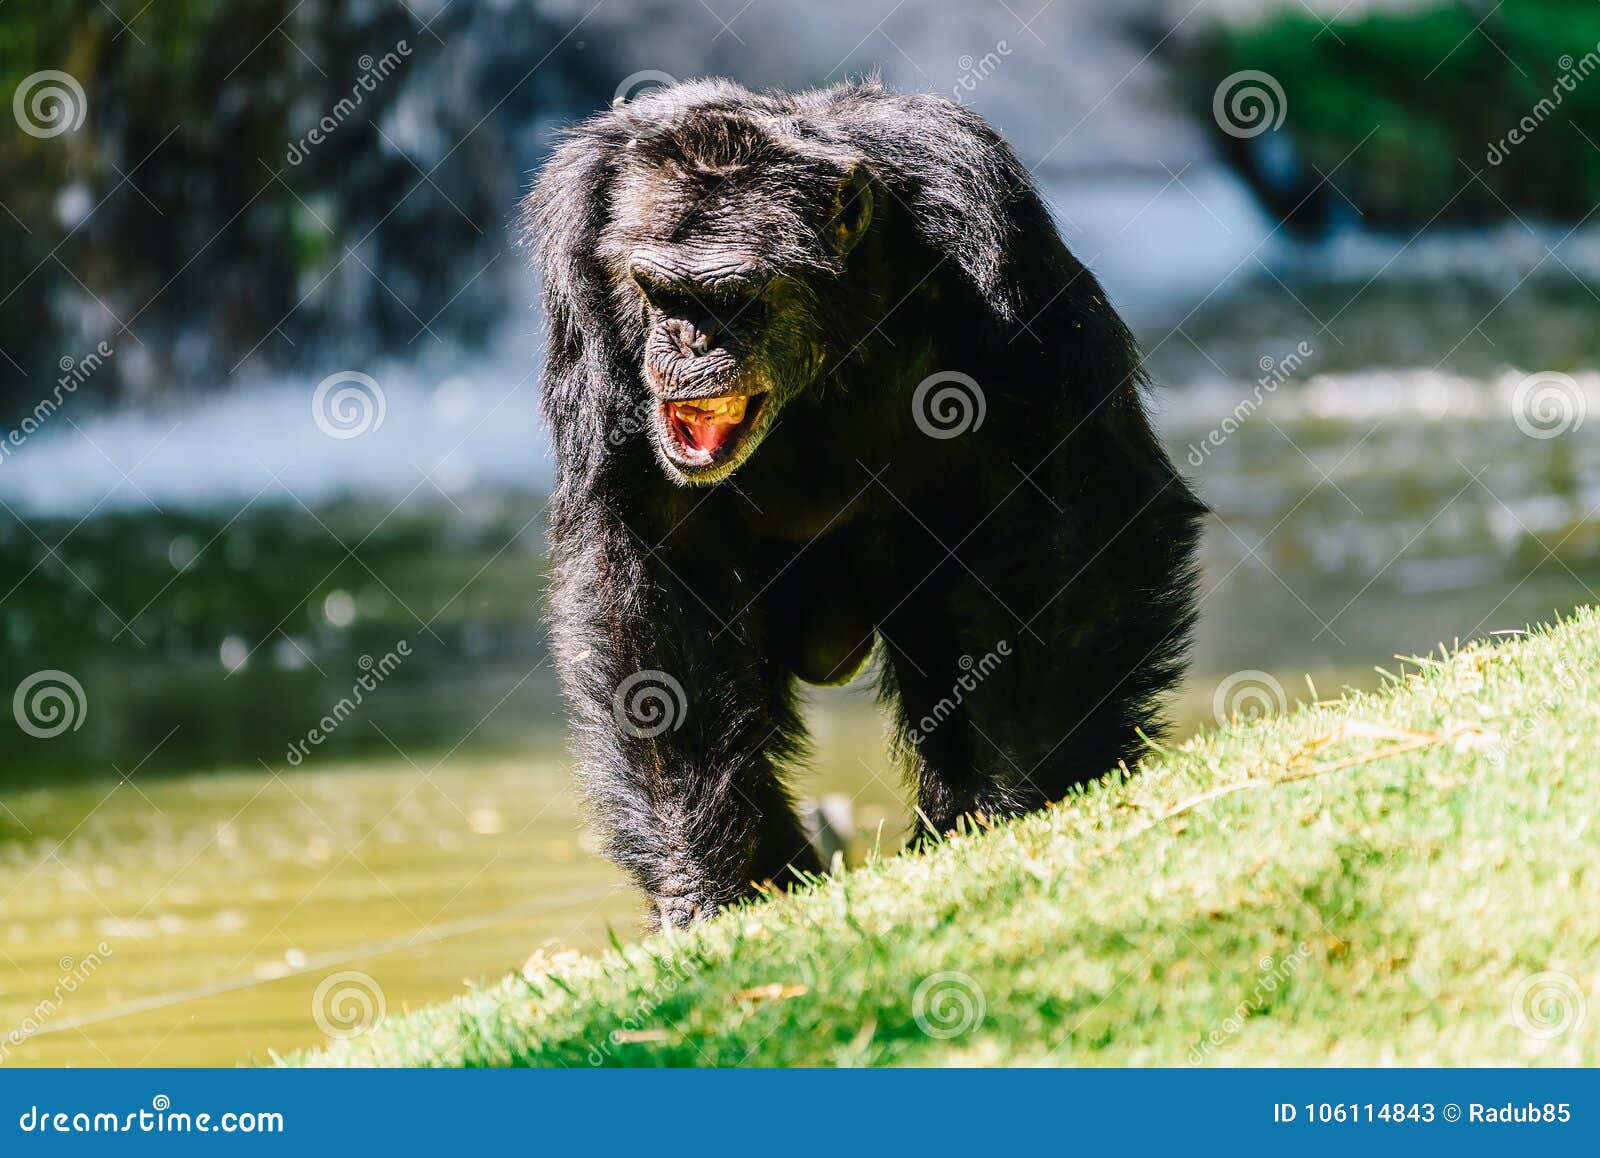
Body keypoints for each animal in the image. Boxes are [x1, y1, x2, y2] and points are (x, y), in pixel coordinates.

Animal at [526, 78, 1204, 928]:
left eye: (733, 296)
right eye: (656, 289)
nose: (686, 341)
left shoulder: (992, 219)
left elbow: (1077, 495)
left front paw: (1023, 800)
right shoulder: (576, 243)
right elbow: (650, 568)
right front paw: (705, 883)